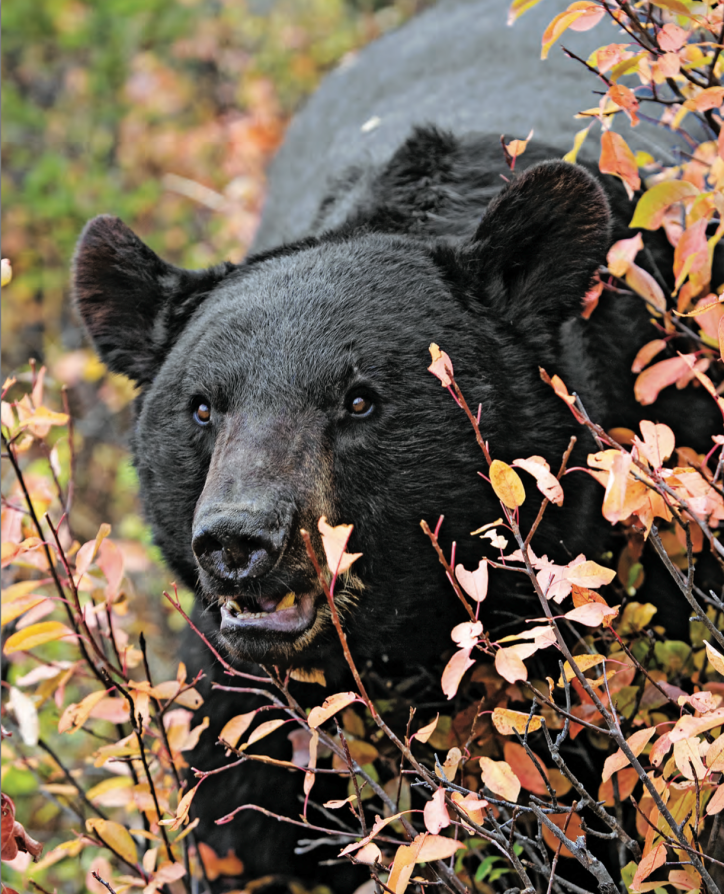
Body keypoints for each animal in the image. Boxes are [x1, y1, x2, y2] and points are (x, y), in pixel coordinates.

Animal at [71, 1, 719, 890]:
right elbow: (240, 823)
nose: (240, 540)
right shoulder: (246, 696)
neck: (399, 656)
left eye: (360, 399)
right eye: (202, 408)